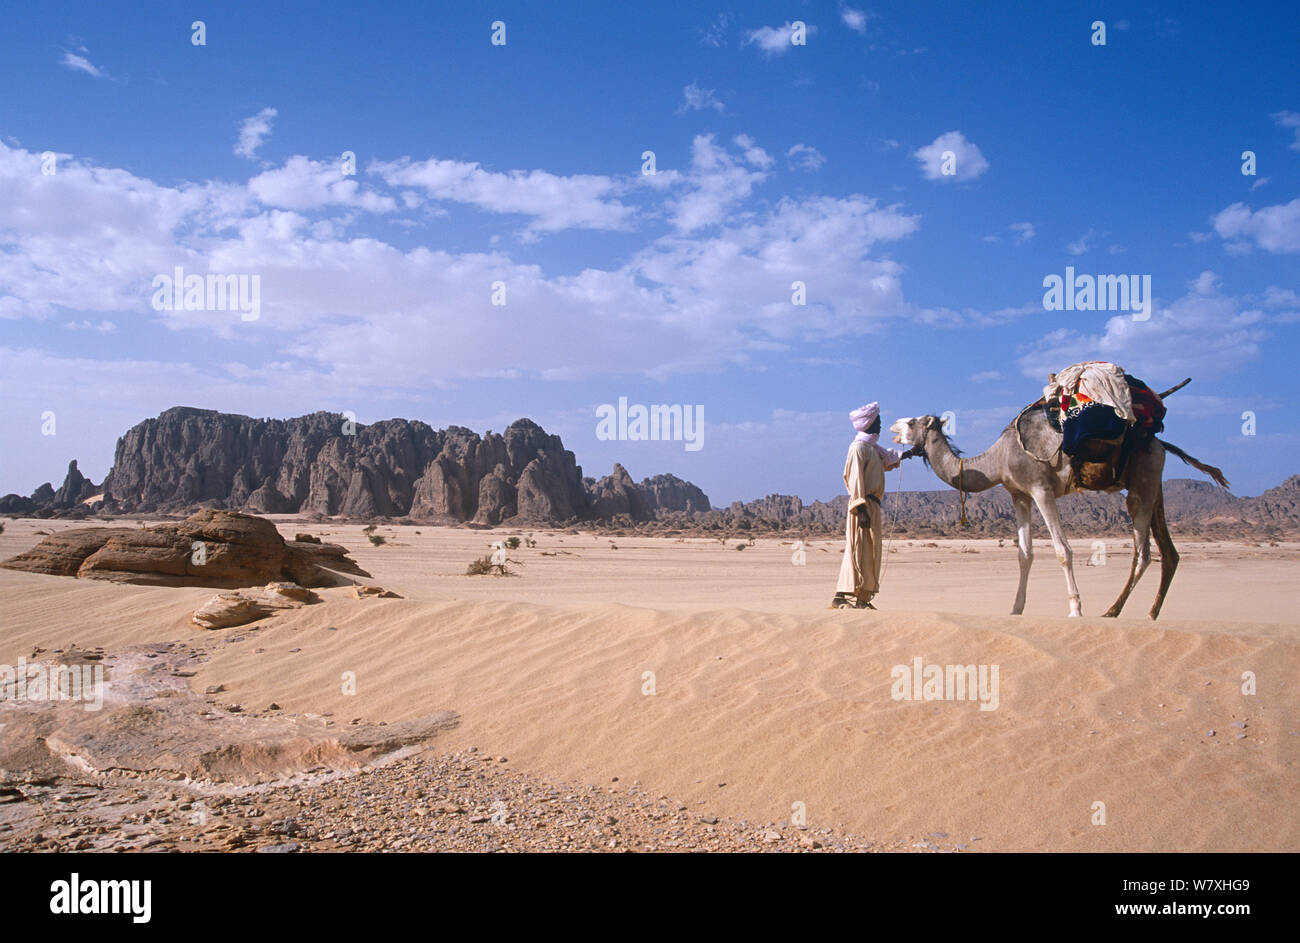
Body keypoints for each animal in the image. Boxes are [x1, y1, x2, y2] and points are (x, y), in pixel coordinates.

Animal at [889, 385, 1229, 620]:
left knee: (1143, 553)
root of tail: (1160, 442)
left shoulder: (1041, 489)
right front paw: (1015, 609)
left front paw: (1075, 609)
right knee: (1168, 553)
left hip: (1141, 485)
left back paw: (1112, 610)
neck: (998, 459)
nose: (892, 426)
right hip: (1153, 484)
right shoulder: (1019, 495)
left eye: (913, 422)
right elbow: (1024, 554)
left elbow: (1062, 550)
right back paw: (1150, 614)